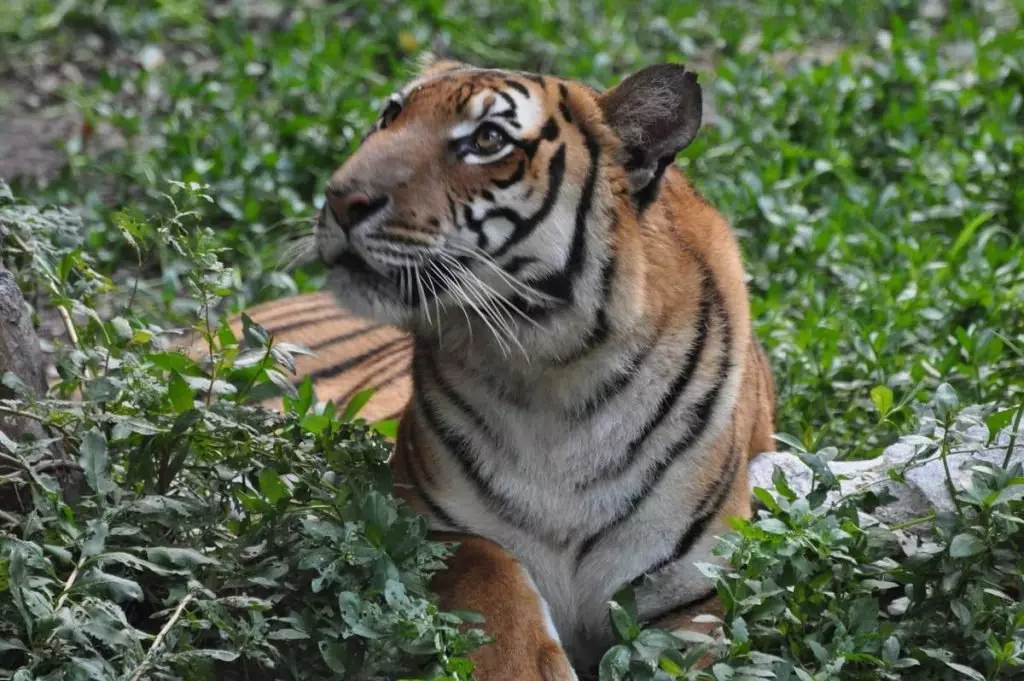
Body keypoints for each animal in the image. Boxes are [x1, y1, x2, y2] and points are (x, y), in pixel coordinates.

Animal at [234, 55, 774, 675]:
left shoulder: (692, 586)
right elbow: (489, 574)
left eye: (487, 140)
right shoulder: (419, 523)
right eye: (390, 116)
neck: (554, 375)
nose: (339, 198)